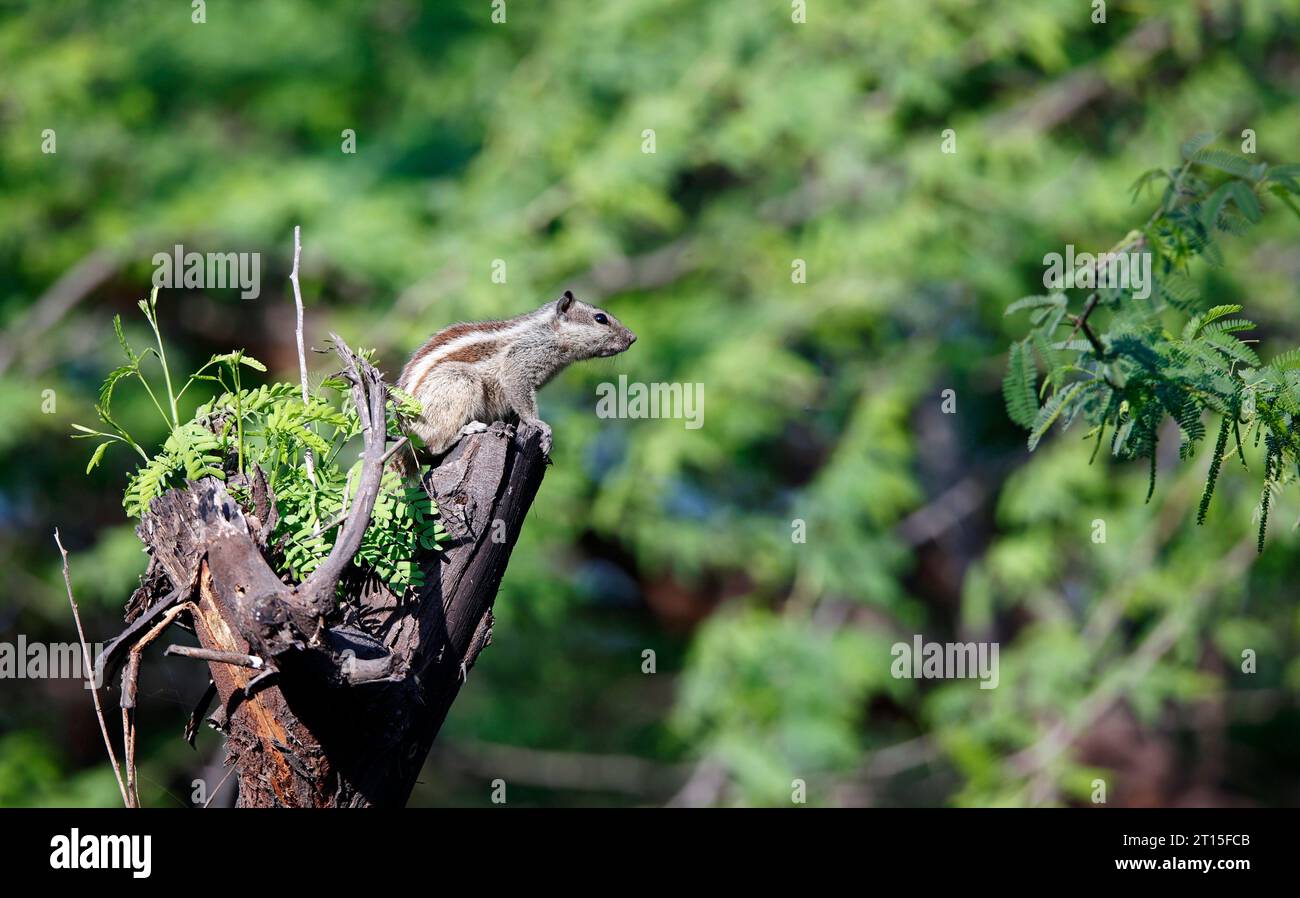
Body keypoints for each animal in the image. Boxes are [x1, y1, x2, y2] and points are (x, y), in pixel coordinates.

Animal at [394, 290, 636, 473]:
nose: (633, 338)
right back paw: (464, 431)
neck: (548, 332)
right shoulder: (519, 364)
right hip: (459, 381)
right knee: (434, 445)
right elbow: (521, 397)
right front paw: (540, 425)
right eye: (600, 318)